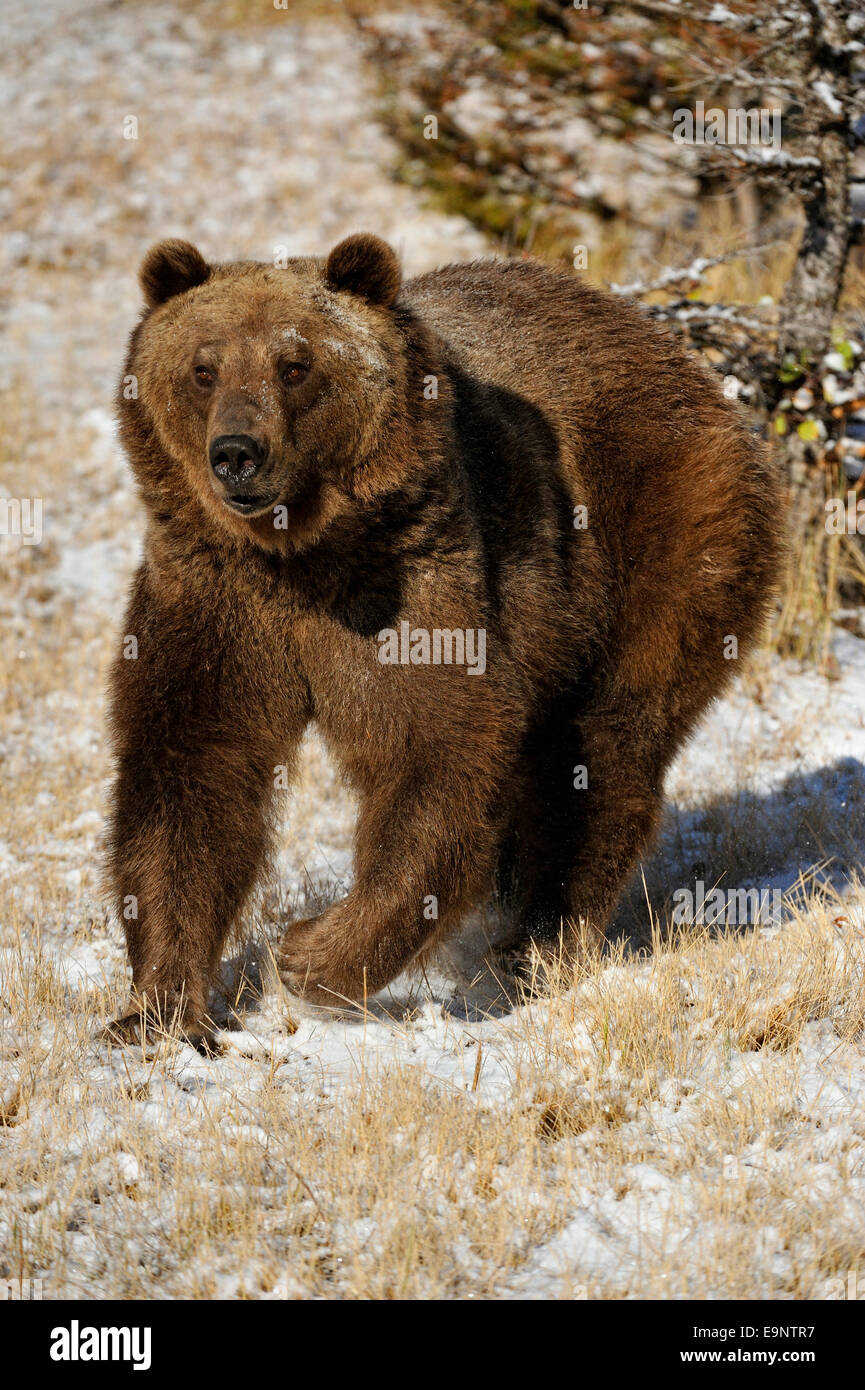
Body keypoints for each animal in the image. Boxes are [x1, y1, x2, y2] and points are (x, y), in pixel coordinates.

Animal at [105, 232, 783, 1048]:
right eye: (202, 368)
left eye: (296, 365)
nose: (236, 453)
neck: (297, 553)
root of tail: (676, 353)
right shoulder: (214, 593)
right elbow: (190, 768)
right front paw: (160, 1008)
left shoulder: (416, 572)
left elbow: (436, 747)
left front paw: (309, 956)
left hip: (662, 528)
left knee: (609, 740)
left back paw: (538, 941)